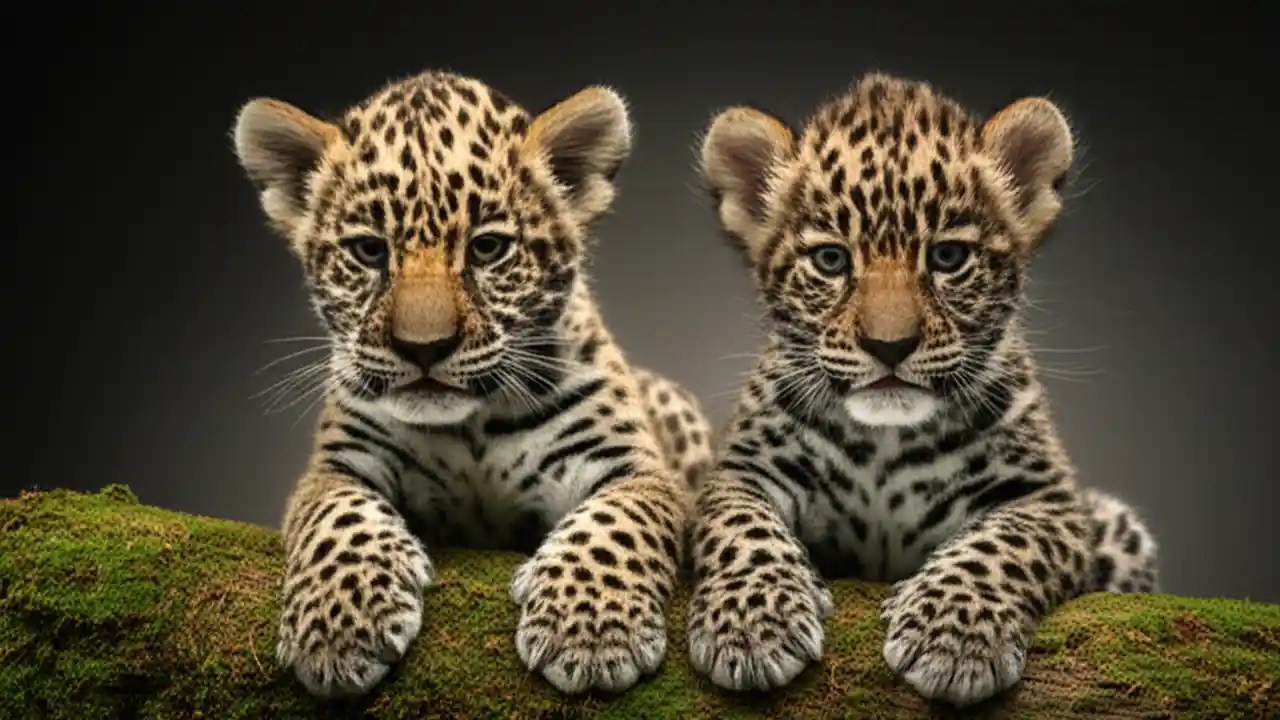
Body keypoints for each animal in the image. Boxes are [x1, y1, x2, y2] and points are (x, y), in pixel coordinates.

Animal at [230, 69, 714, 699]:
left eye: (487, 248)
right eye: (369, 251)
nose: (423, 347)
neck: (473, 426)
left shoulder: (633, 465)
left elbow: (616, 524)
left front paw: (588, 628)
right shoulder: (334, 466)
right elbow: (339, 518)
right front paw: (339, 627)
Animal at [684, 72, 1159, 706]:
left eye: (948, 257)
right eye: (831, 260)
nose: (890, 346)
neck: (885, 443)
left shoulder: (1049, 500)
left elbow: (1001, 545)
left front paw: (952, 638)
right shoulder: (742, 469)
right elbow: (741, 526)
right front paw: (753, 623)